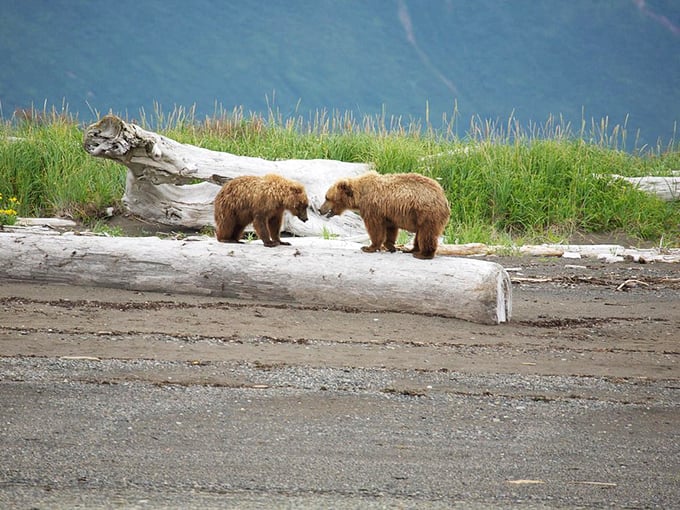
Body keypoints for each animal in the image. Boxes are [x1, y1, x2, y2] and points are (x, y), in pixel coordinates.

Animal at [319, 171, 450, 259]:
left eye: (327, 198)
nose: (320, 209)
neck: (360, 196)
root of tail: (444, 198)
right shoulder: (389, 212)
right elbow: (390, 228)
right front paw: (391, 246)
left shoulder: (373, 208)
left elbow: (375, 228)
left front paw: (368, 247)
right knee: (420, 234)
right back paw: (411, 250)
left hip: (427, 214)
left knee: (426, 233)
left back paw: (423, 254)